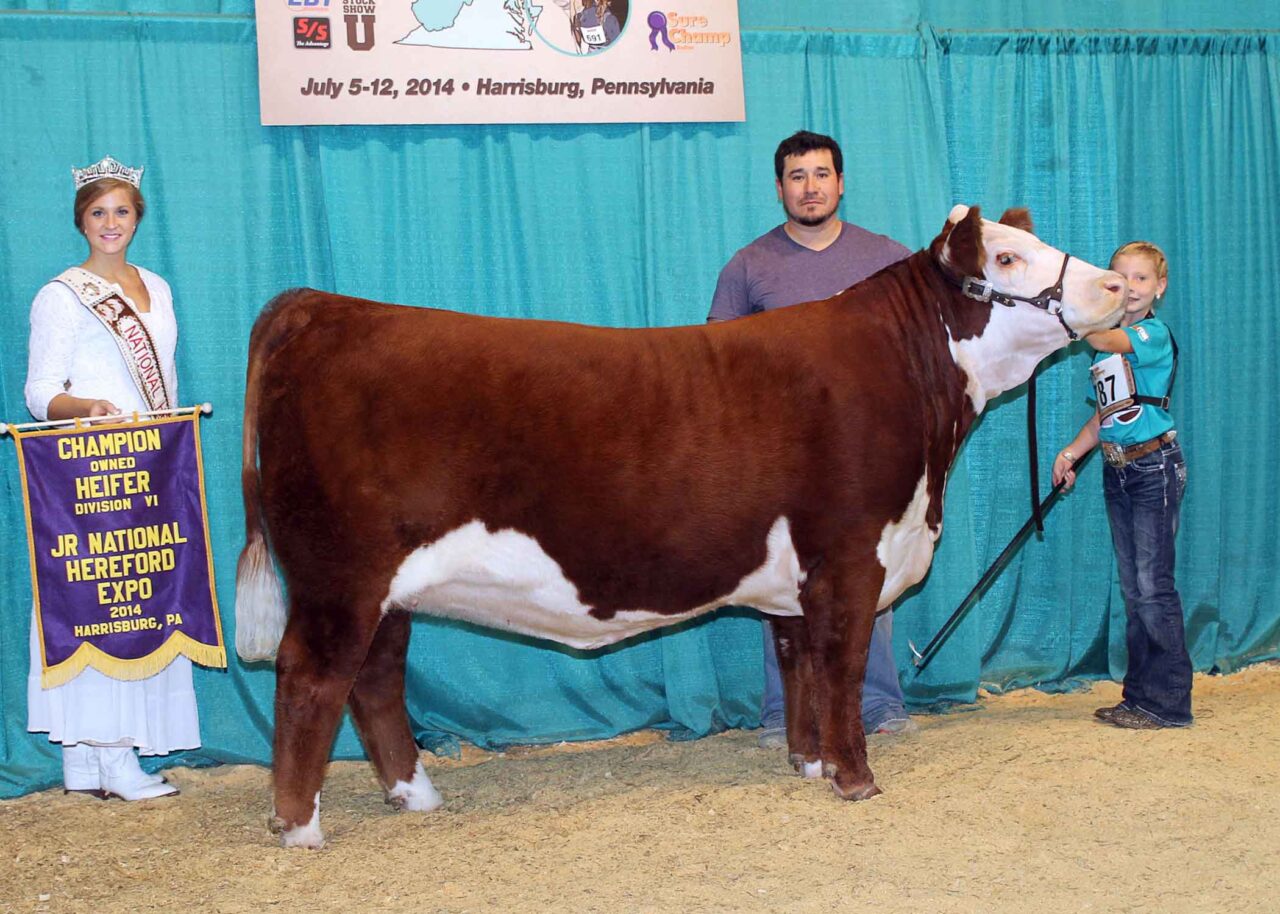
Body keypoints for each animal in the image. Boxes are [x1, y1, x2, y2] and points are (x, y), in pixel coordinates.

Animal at [235, 205, 1126, 848]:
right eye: (1005, 259)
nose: (1117, 284)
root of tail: (316, 307)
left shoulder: (795, 579)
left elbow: (799, 666)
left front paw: (806, 763)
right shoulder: (849, 557)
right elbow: (839, 670)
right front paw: (855, 779)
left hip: (385, 589)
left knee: (376, 677)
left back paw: (415, 794)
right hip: (340, 577)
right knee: (311, 678)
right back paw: (300, 826)